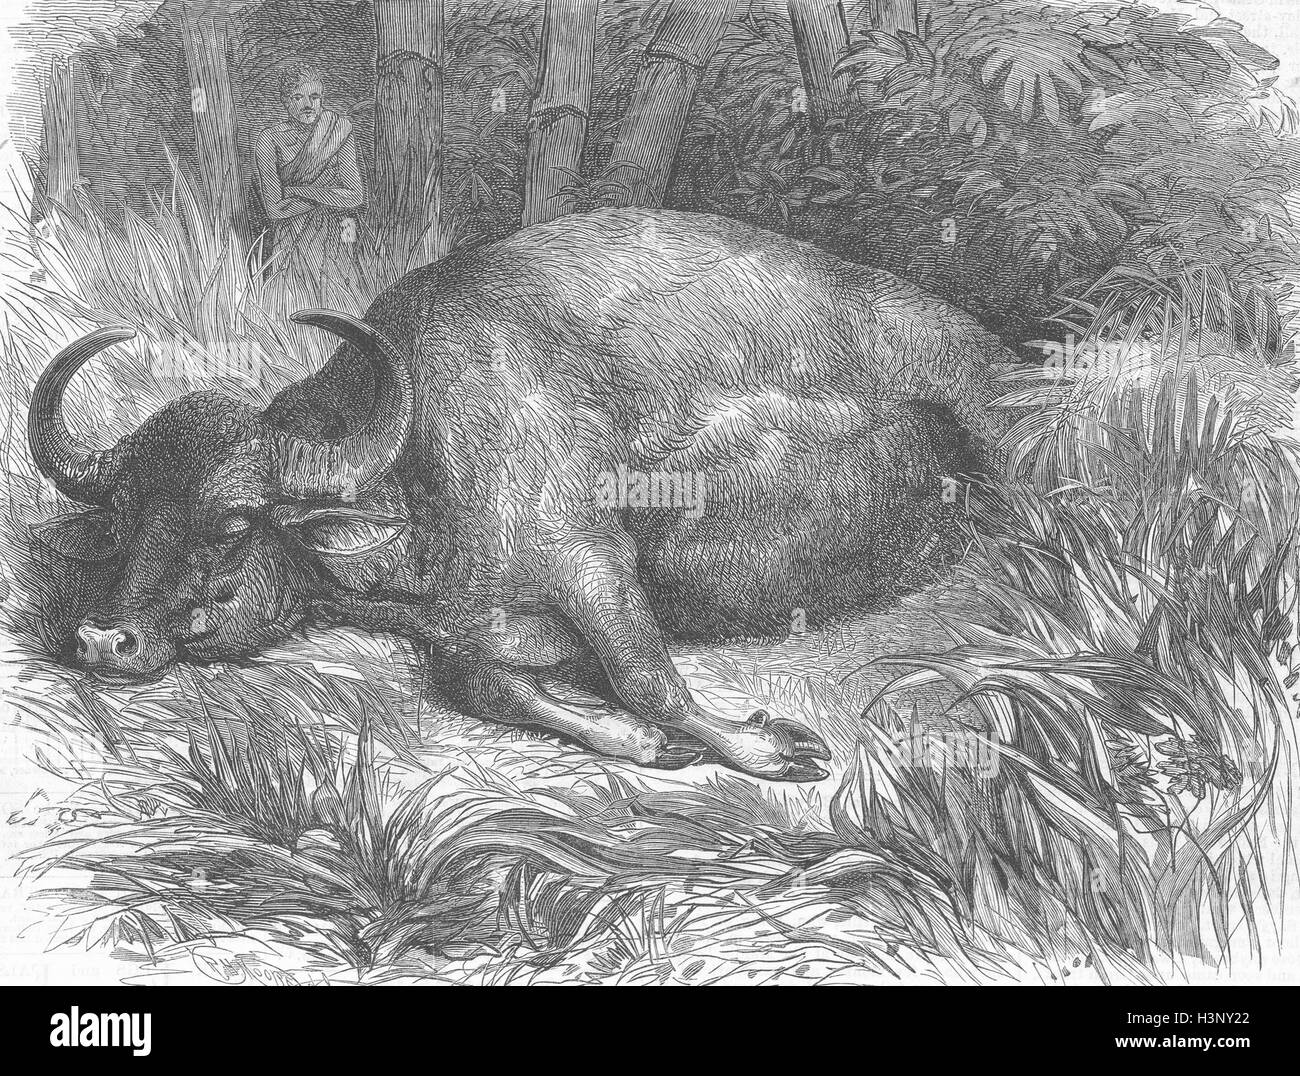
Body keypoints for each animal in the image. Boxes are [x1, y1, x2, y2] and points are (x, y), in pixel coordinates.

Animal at [27, 208, 1005, 781]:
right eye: (122, 514)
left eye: (233, 520)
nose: (102, 639)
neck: (415, 476)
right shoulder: (466, 632)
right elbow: (483, 682)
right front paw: (637, 741)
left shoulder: (594, 563)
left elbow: (646, 675)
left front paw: (767, 746)